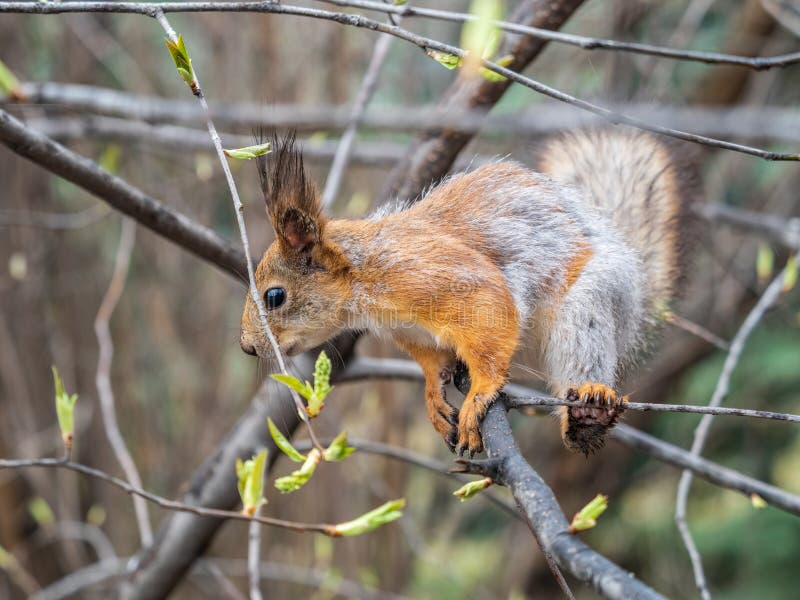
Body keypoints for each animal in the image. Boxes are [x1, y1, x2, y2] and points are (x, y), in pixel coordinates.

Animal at [240, 128, 693, 456]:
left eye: (275, 297)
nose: (247, 347)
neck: (363, 275)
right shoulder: (412, 332)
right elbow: (431, 363)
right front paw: (432, 394)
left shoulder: (444, 279)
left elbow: (490, 327)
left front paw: (480, 393)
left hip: (596, 295)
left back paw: (587, 410)